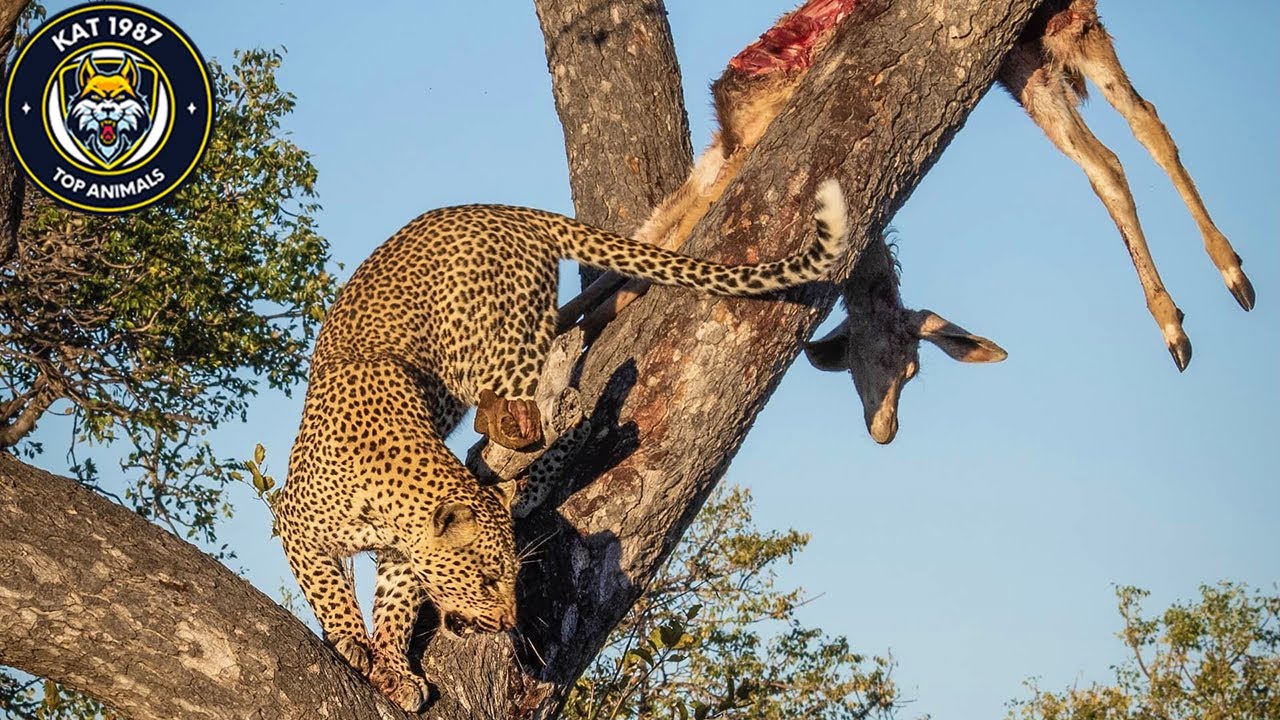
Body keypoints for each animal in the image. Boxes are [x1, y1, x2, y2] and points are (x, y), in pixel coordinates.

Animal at [275, 180, 850, 711]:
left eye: (510, 577)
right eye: (487, 579)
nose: (507, 619)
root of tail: (504, 210)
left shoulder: (403, 548)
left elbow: (395, 602)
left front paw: (392, 666)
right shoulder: (292, 521)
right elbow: (329, 588)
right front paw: (354, 643)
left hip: (506, 354)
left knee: (568, 410)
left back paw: (528, 484)